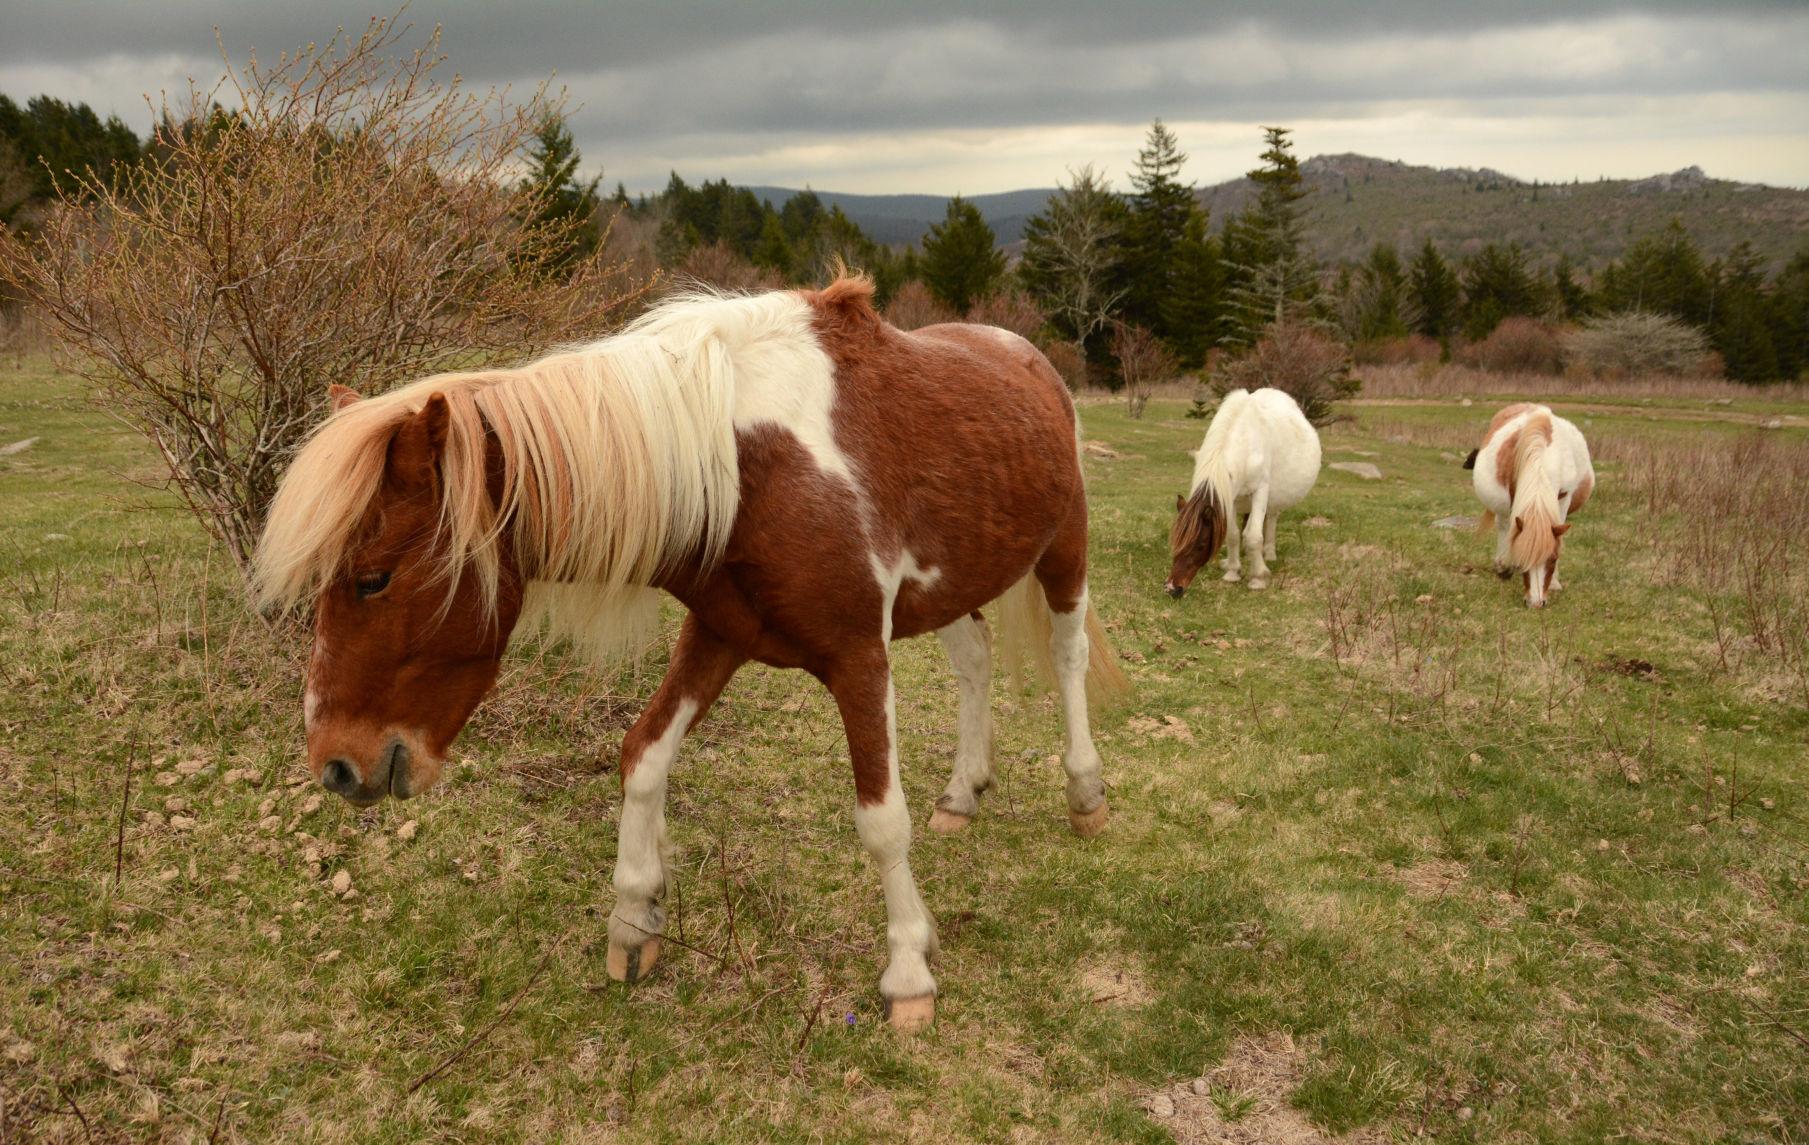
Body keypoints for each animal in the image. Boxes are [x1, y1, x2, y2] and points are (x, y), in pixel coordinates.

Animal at [252, 273, 1125, 1032]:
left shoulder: (858, 659)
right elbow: (643, 755)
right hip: (949, 585)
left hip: (1065, 551)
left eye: (372, 578)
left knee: (1068, 657)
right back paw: (962, 791)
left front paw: (908, 972)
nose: (335, 765)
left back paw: (1084, 793)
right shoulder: (719, 634)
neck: (744, 469)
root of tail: (1022, 352)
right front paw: (635, 920)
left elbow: (881, 819)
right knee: (974, 658)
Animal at [1165, 388, 1321, 597]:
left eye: (1201, 545)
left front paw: (1258, 578)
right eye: (1176, 540)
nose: (1172, 588)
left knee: (1271, 519)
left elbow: (1254, 536)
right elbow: (1233, 535)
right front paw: (1233, 571)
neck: (1244, 441)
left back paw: (1269, 554)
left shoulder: (1261, 491)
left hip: (1273, 498)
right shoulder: (1229, 497)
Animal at [1462, 402, 1595, 608]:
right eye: (1522, 559)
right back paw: (1502, 565)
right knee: (1503, 526)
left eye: (1553, 559)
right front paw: (1506, 567)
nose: (1535, 603)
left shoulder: (1563, 498)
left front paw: (1554, 583)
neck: (1542, 460)